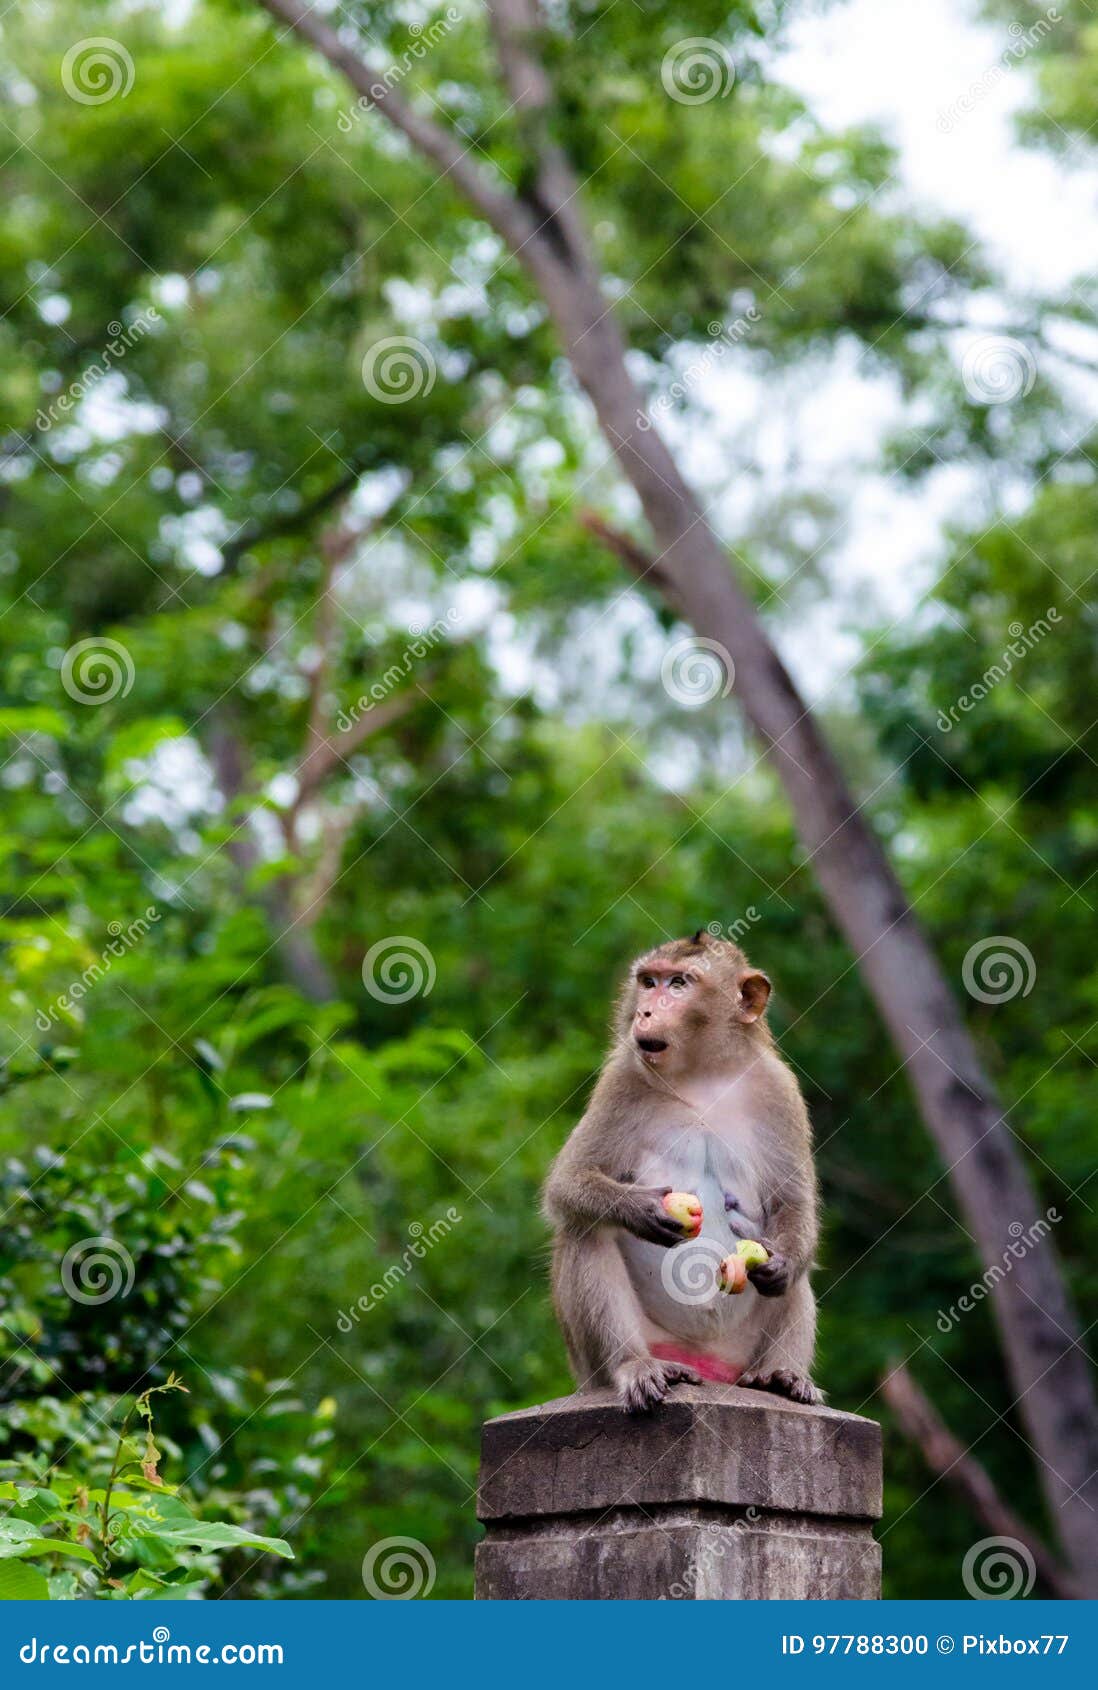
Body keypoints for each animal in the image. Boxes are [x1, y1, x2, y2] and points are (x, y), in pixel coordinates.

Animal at [542, 930, 821, 1412]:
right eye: (647, 981)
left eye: (678, 984)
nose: (644, 1011)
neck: (701, 1073)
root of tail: (708, 1369)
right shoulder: (620, 1080)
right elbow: (568, 1184)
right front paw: (642, 1210)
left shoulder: (779, 1089)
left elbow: (792, 1202)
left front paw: (782, 1264)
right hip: (596, 1363)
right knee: (585, 1230)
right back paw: (635, 1365)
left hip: (739, 1352)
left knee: (795, 1275)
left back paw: (781, 1376)